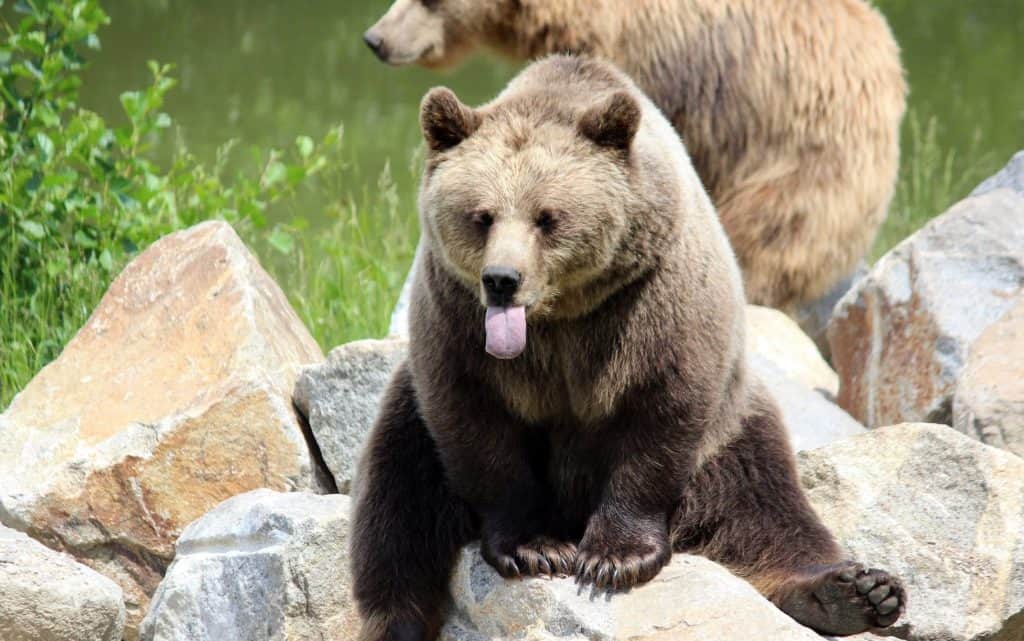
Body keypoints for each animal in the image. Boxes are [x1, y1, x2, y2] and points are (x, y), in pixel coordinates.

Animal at [350, 55, 905, 641]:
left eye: (547, 216)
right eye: (481, 216)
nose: (502, 280)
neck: (561, 313)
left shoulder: (651, 306)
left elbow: (656, 419)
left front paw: (613, 559)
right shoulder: (456, 322)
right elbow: (478, 428)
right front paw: (536, 549)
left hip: (731, 426)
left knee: (766, 503)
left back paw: (858, 591)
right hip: (409, 413)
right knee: (396, 506)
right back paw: (399, 622)